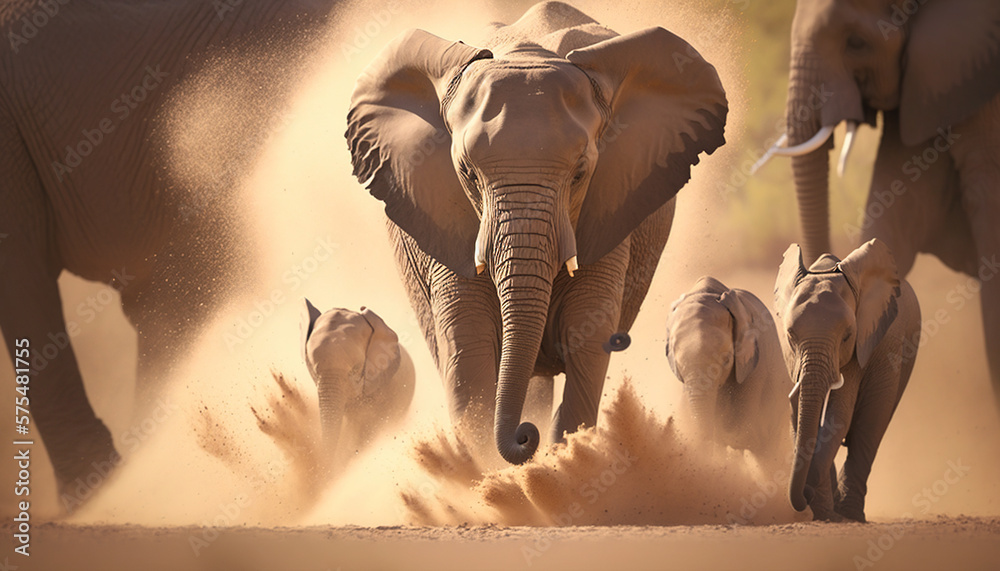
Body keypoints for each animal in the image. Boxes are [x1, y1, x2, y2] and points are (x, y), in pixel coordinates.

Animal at [345, 1, 728, 464]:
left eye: (580, 173)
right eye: (467, 173)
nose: (527, 436)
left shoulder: (611, 201)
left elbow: (587, 333)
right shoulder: (443, 212)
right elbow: (468, 344)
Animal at [774, 238, 920, 522]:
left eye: (846, 336)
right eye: (790, 335)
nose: (805, 495)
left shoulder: (861, 345)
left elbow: (838, 417)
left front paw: (826, 511)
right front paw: (823, 512)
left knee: (870, 425)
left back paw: (851, 514)